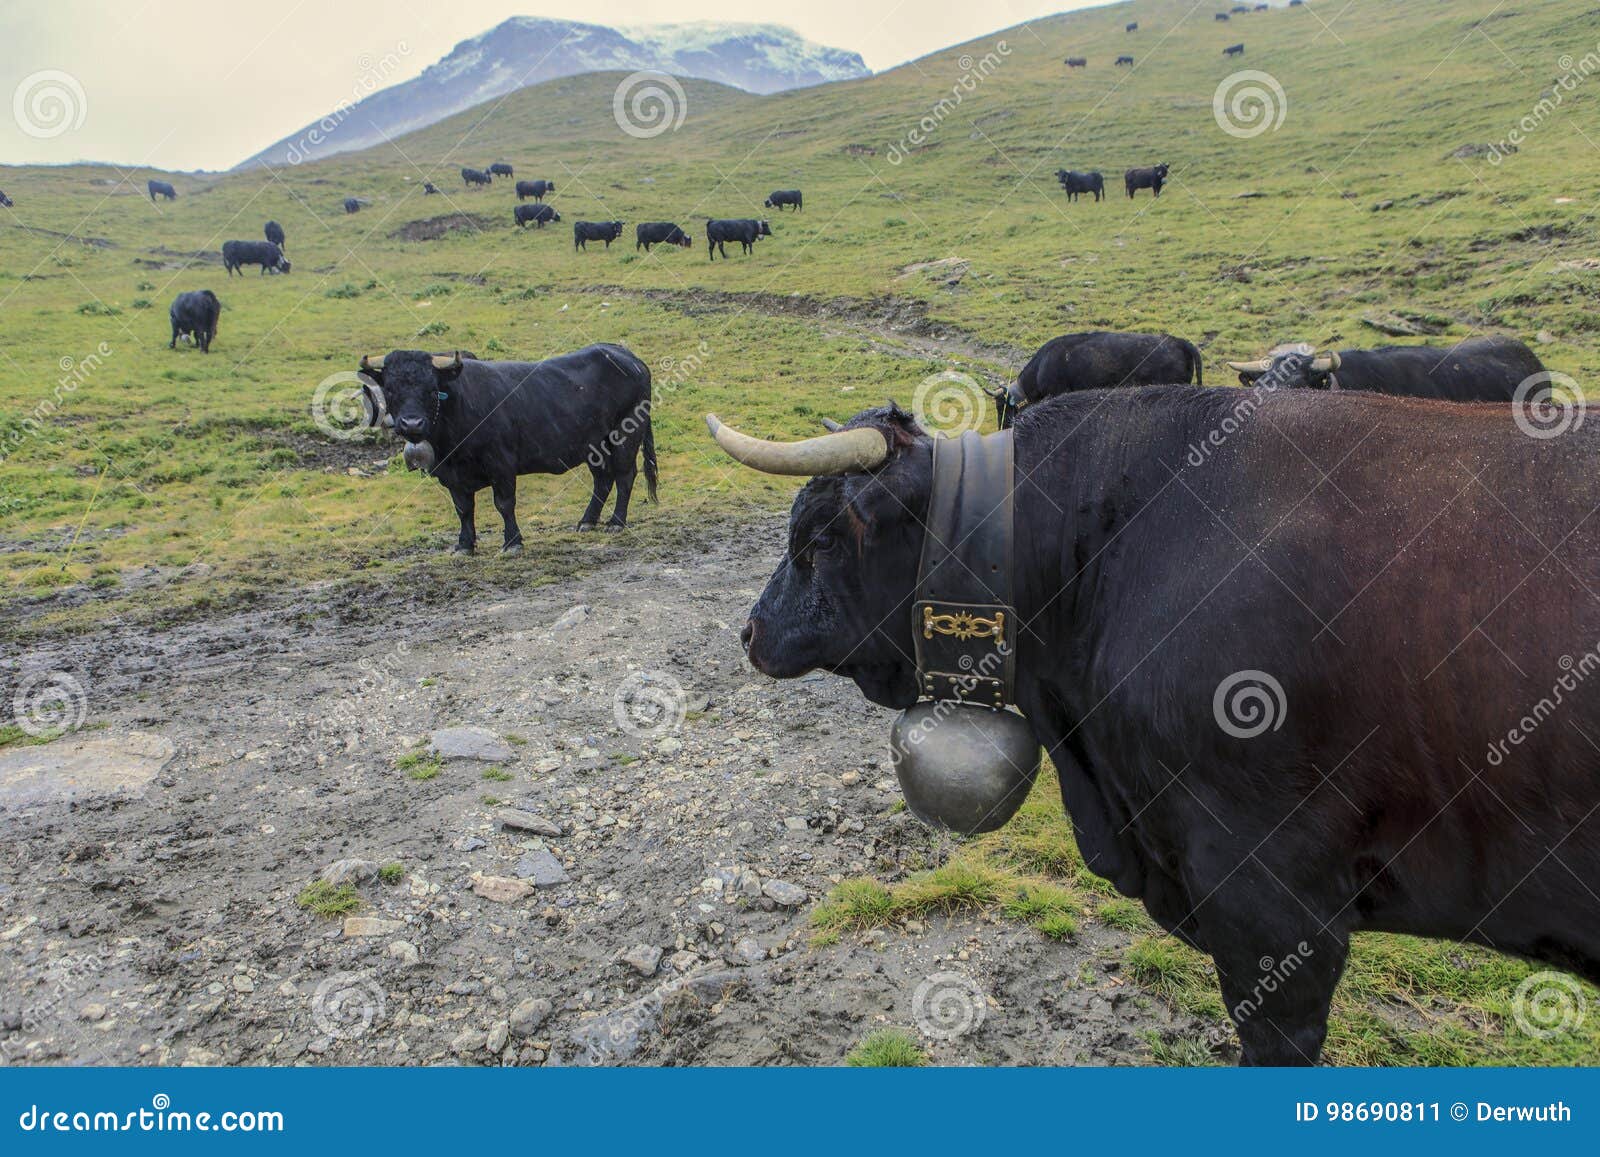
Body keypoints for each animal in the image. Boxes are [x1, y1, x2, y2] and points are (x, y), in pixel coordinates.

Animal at [355, 347, 657, 551]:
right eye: (390, 389)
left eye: (430, 388)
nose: (411, 423)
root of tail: (626, 356)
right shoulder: (452, 475)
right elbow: (463, 509)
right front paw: (464, 545)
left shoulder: (500, 464)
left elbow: (504, 504)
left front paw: (512, 542)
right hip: (595, 445)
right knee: (603, 480)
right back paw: (587, 521)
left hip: (625, 436)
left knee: (624, 476)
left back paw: (616, 522)